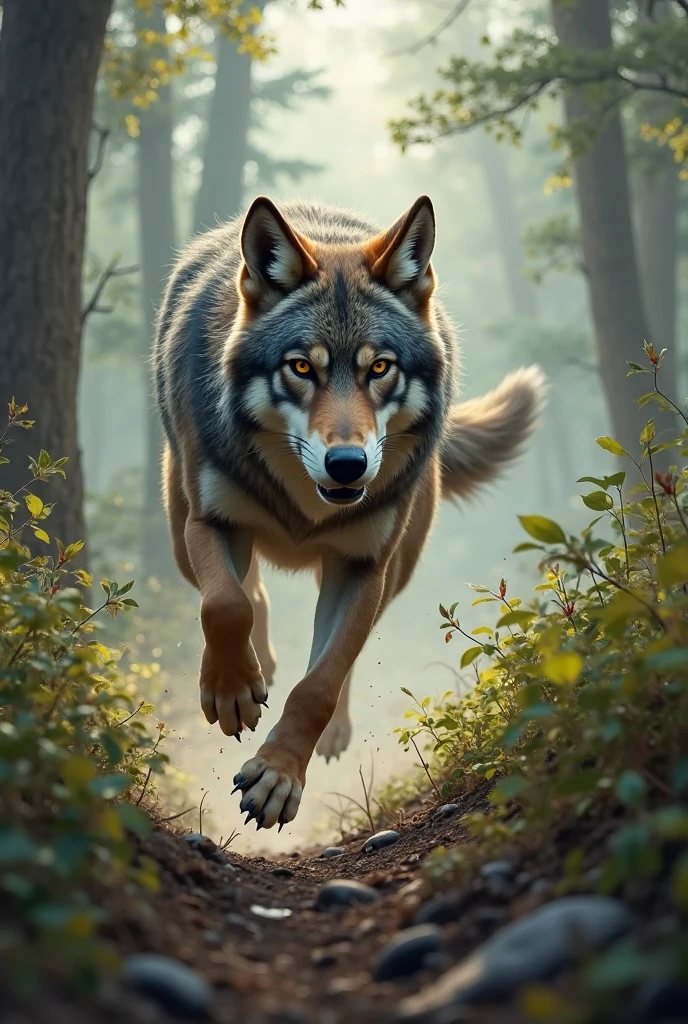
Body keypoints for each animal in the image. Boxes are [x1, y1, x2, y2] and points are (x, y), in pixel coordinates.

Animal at [154, 194, 544, 831]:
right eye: (301, 368)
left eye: (379, 368)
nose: (346, 465)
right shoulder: (211, 524)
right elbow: (226, 605)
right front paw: (233, 689)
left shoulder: (364, 565)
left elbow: (321, 683)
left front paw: (277, 777)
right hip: (180, 529)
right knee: (249, 593)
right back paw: (257, 668)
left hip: (393, 570)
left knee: (338, 657)